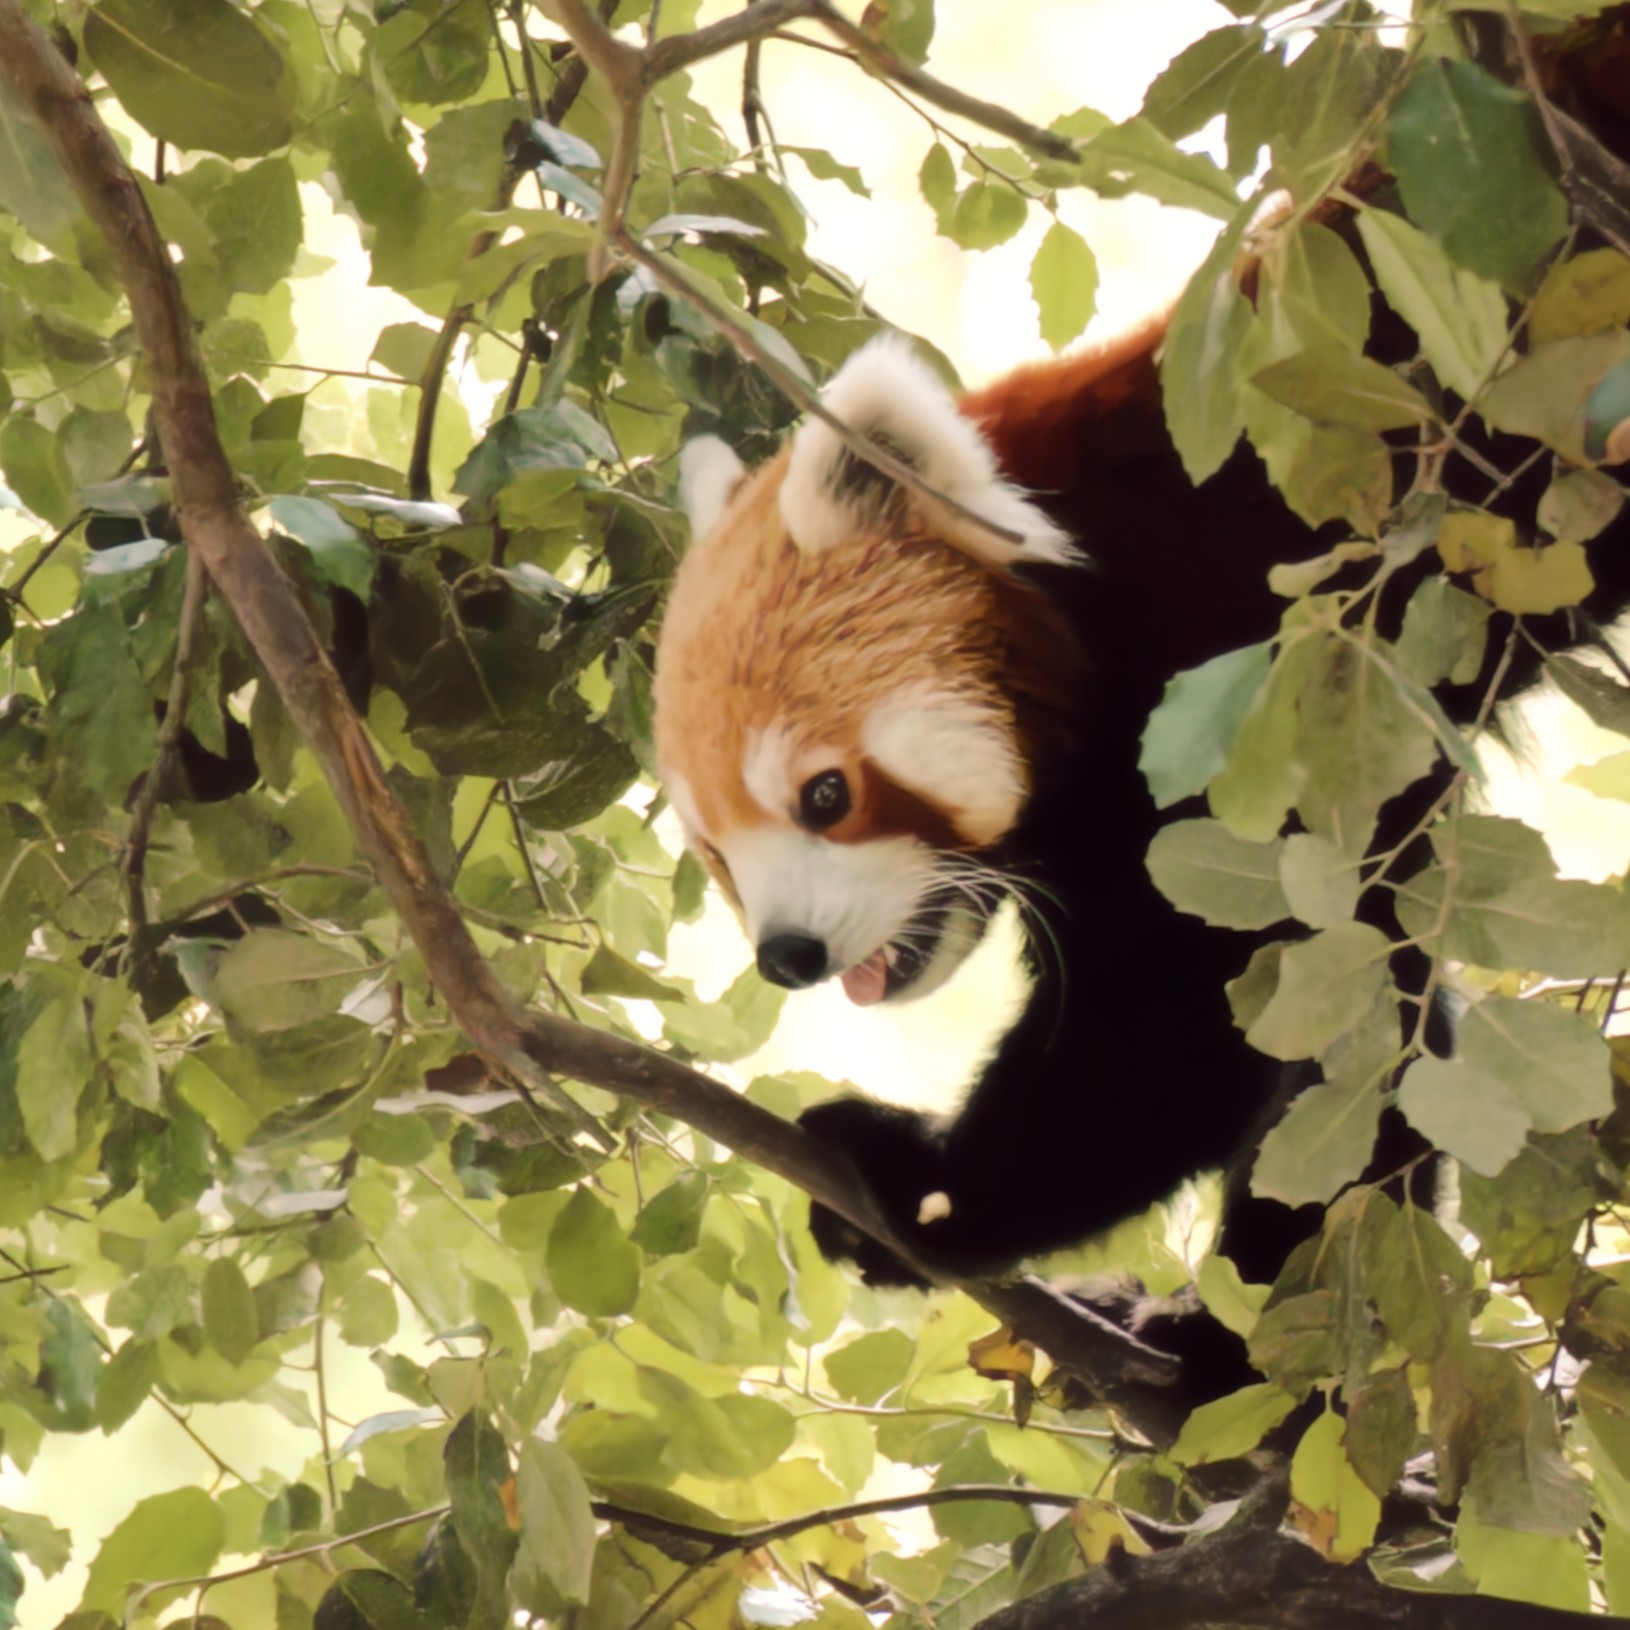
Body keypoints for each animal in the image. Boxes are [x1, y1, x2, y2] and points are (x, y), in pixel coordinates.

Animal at [650, 306, 1630, 1305]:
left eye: (825, 795)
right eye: (716, 850)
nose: (788, 957)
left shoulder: (1251, 677)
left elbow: (1174, 1019)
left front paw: (925, 1191)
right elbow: (1371, 1002)